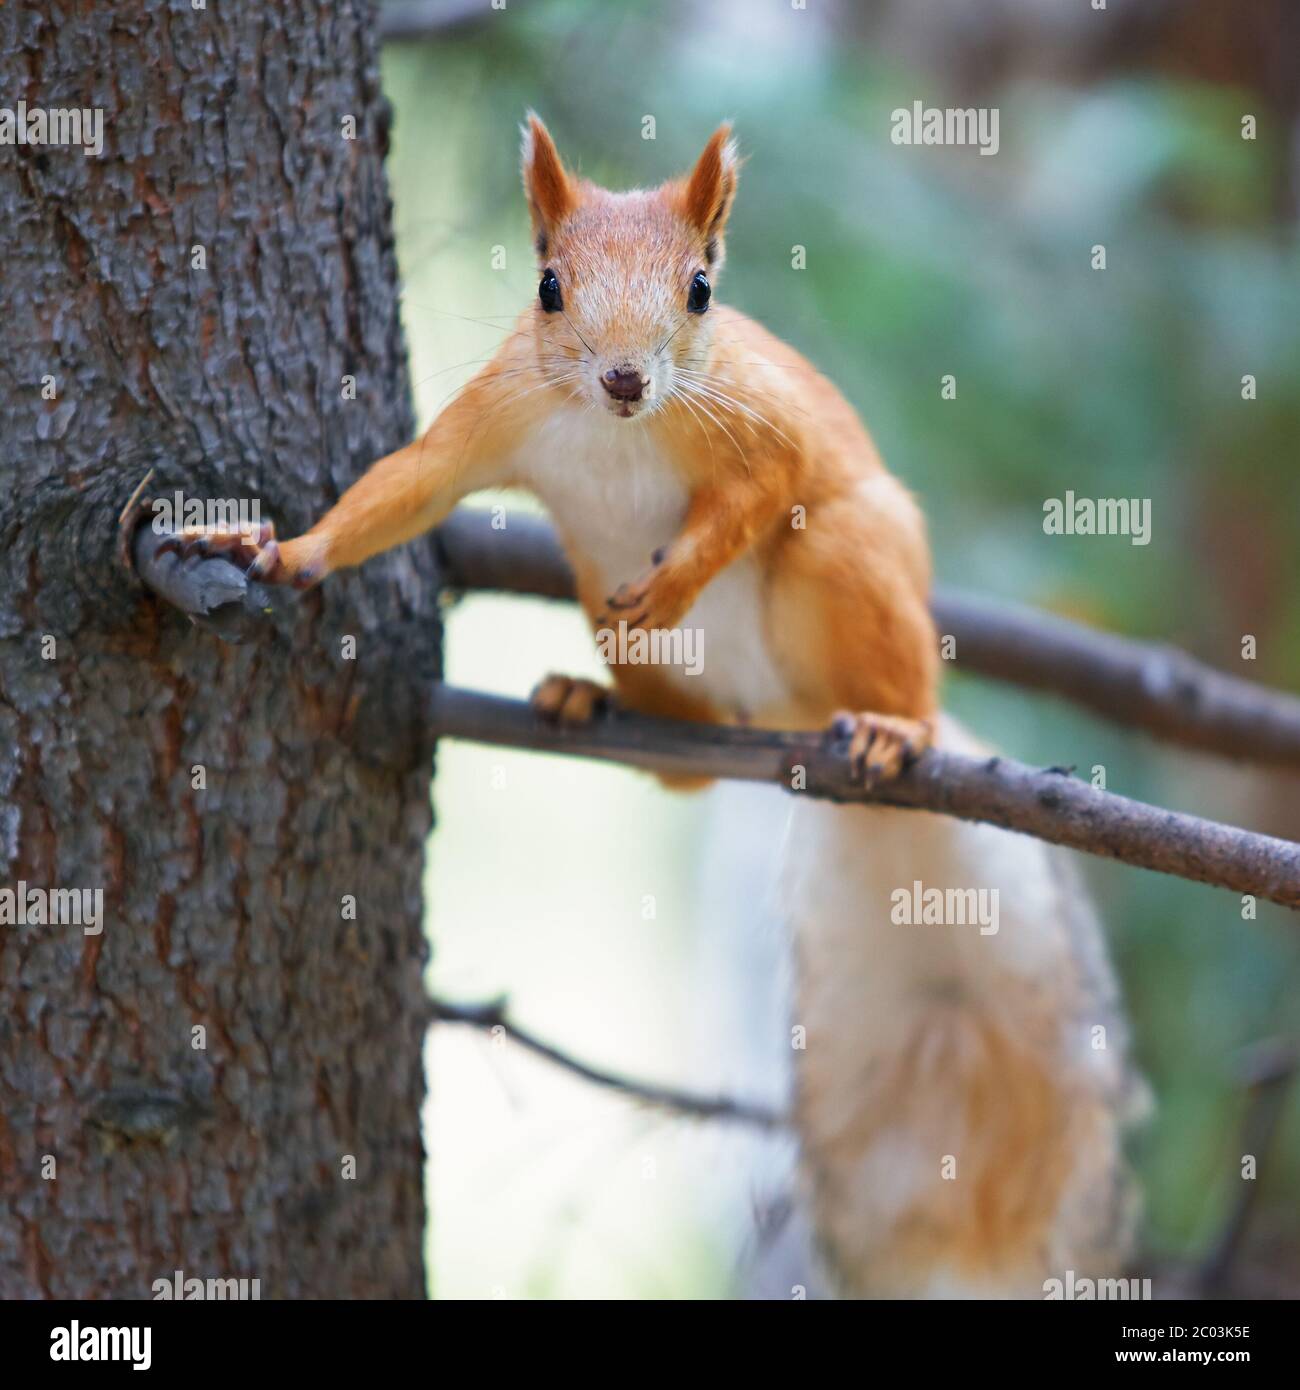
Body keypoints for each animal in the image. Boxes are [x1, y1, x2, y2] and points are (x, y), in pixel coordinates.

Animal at [171, 115, 1144, 1297]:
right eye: (547, 285)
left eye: (700, 290)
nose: (628, 377)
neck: (618, 429)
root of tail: (783, 724)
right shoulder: (491, 417)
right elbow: (398, 492)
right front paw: (280, 552)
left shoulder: (762, 427)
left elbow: (756, 495)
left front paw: (679, 578)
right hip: (616, 623)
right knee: (686, 757)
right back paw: (587, 698)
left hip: (848, 565)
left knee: (866, 639)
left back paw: (893, 729)